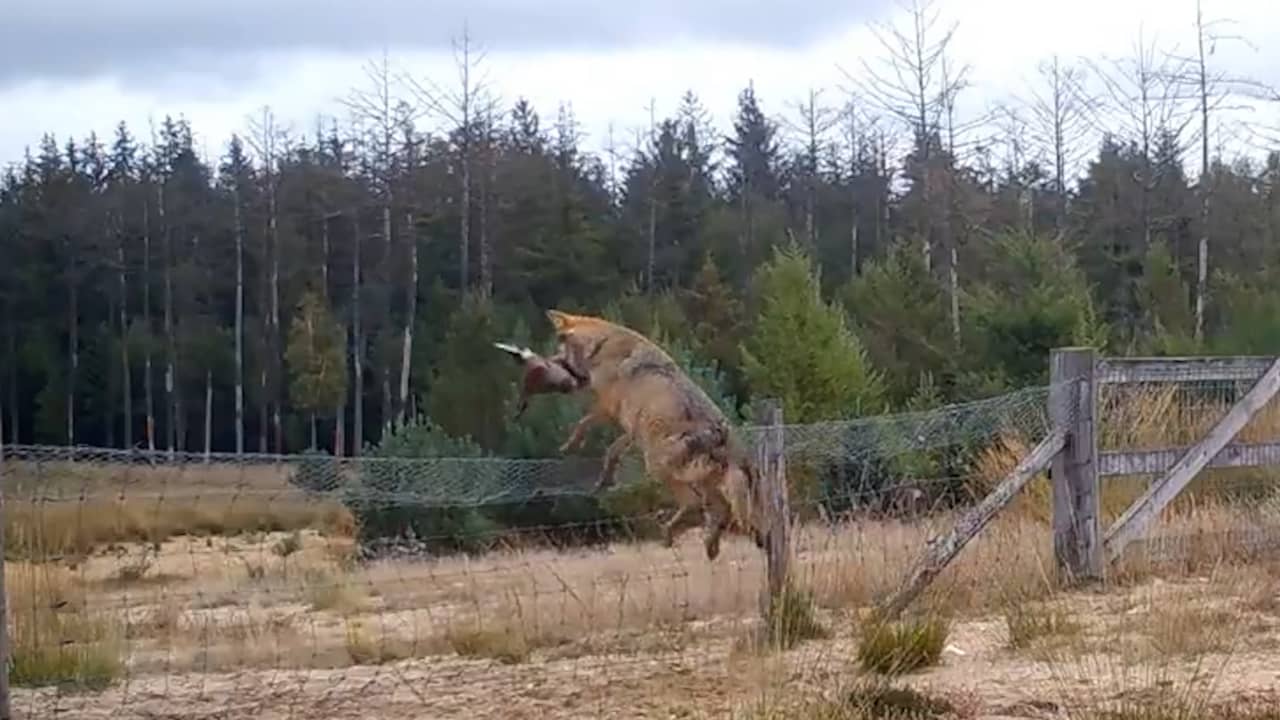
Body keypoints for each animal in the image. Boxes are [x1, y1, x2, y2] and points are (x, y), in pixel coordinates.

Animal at [542, 309, 767, 560]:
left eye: (558, 349)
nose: (544, 364)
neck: (600, 345)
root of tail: (728, 441)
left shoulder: (607, 407)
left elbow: (584, 423)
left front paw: (570, 446)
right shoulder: (631, 429)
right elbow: (612, 451)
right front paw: (604, 479)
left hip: (658, 467)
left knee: (695, 505)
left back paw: (672, 534)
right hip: (701, 482)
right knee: (720, 512)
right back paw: (710, 546)